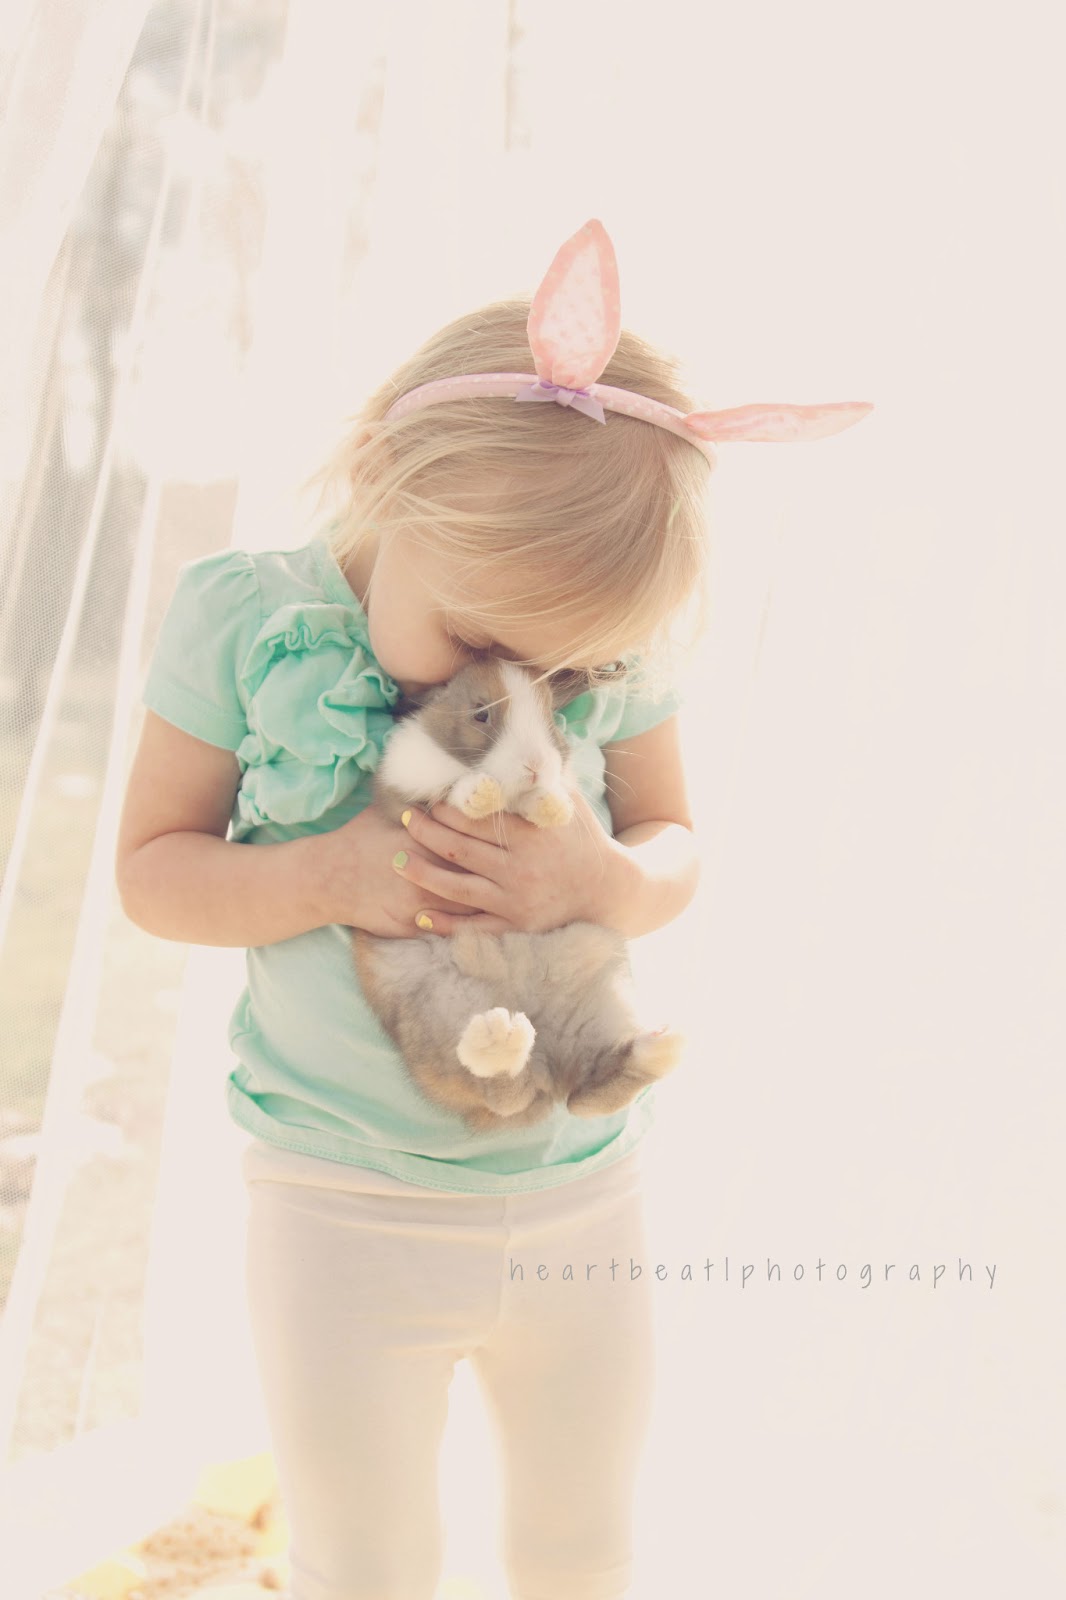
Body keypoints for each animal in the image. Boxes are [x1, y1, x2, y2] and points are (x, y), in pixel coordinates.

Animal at [350, 657, 685, 1132]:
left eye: (551, 720)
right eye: (481, 714)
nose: (535, 766)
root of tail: (546, 1067)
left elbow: (538, 801)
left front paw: (552, 806)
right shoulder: (402, 796)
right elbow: (451, 791)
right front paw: (482, 793)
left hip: (603, 998)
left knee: (589, 1093)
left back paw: (660, 1047)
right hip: (437, 1019)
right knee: (501, 1088)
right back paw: (500, 1040)